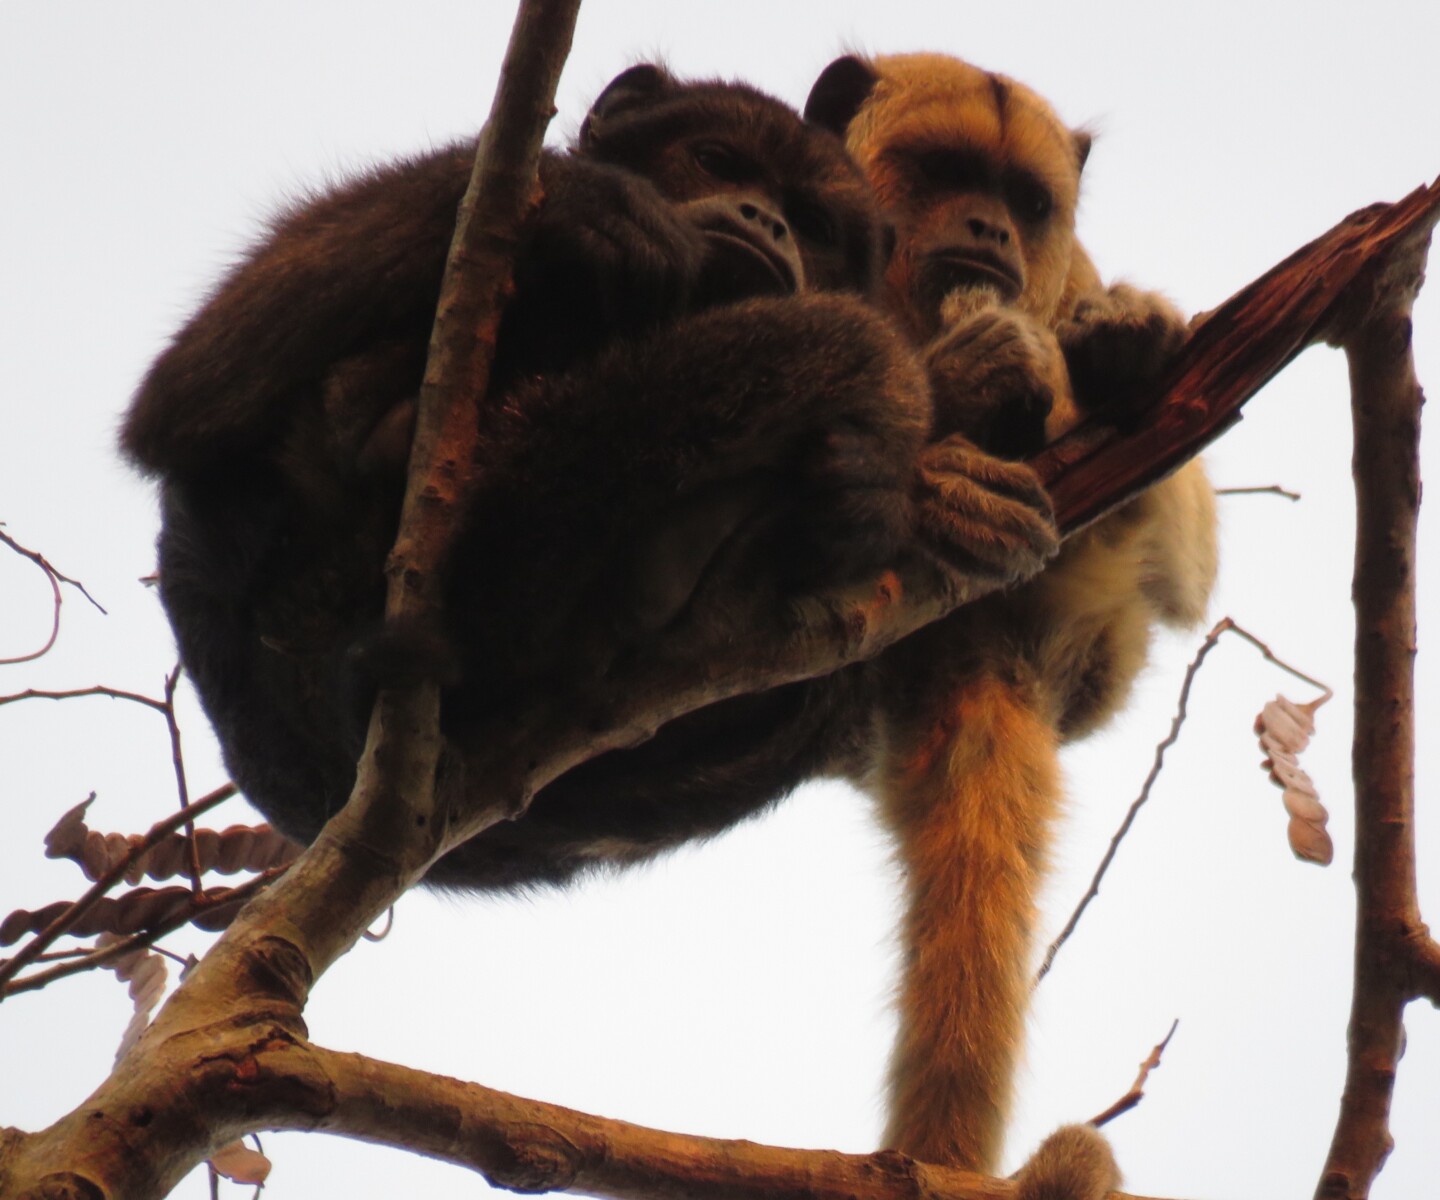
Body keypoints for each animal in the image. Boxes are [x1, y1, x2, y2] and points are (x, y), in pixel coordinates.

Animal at [121, 64, 1060, 894]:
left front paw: (951, 422)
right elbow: (185, 397)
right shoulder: (471, 172)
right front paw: (591, 204)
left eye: (817, 223)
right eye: (717, 160)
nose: (764, 218)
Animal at [803, 51, 1218, 1185]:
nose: (990, 231)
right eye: (947, 171)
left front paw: (1120, 342)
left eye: (1027, 203)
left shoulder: (1069, 276)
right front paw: (962, 403)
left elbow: (1196, 572)